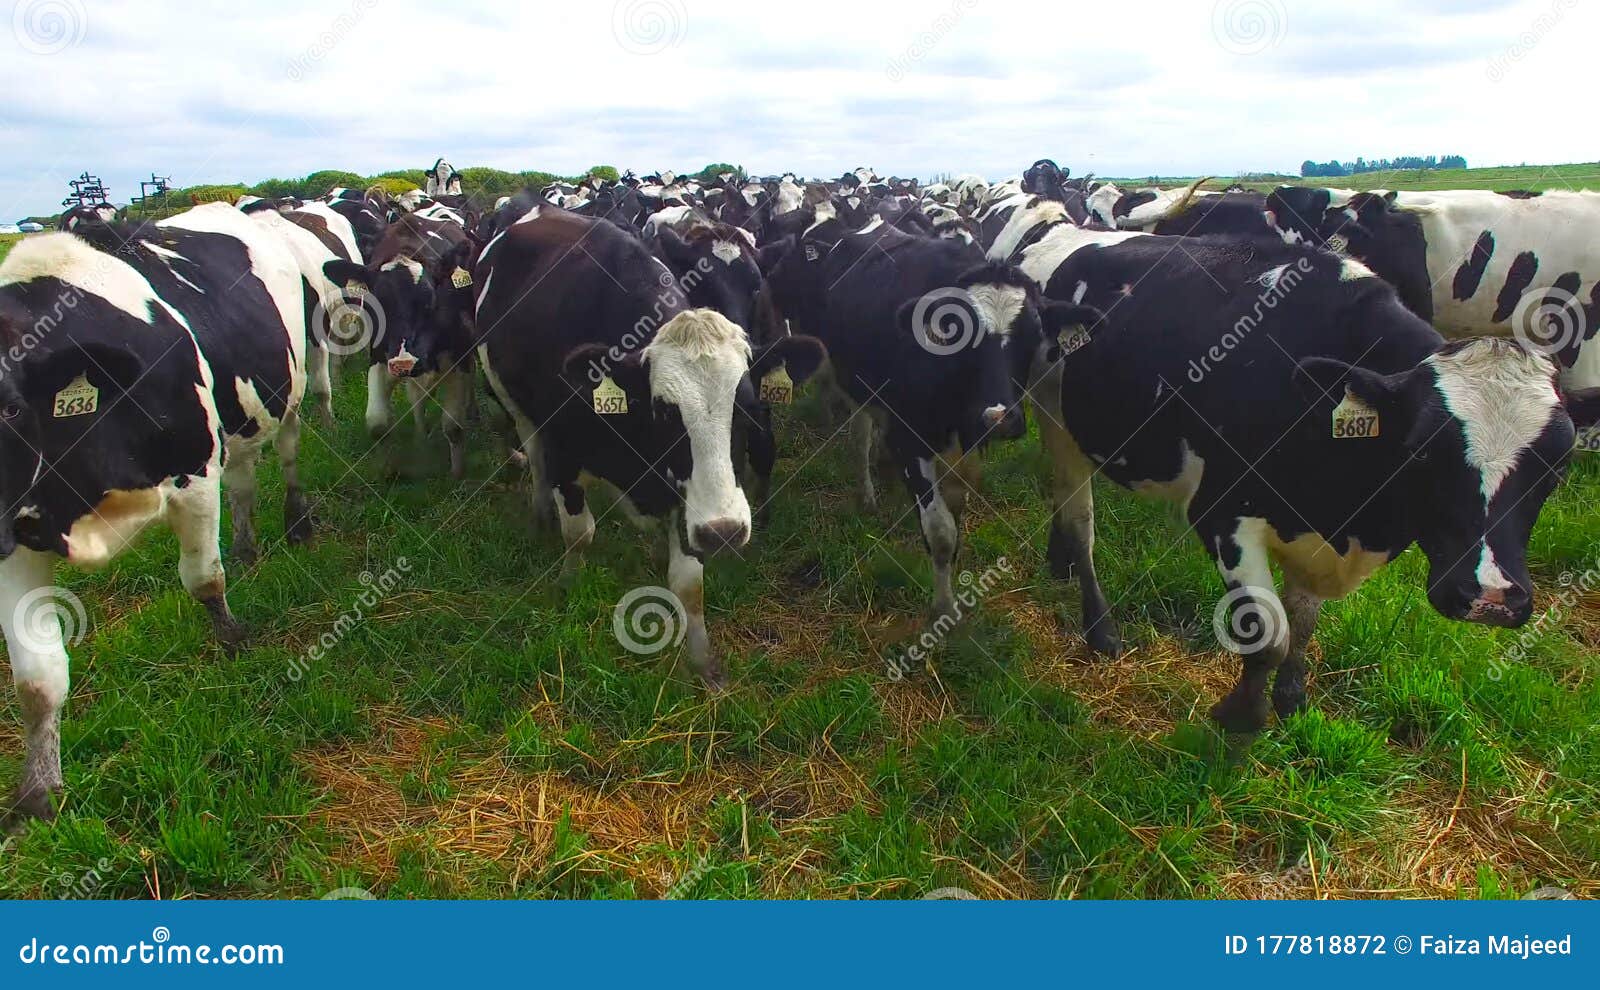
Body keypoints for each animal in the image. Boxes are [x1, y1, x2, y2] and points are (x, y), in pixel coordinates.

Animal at [0, 202, 313, 820]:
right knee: (244, 480)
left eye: (11, 409)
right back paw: (246, 545)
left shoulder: (194, 475)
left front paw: (233, 640)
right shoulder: (11, 537)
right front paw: (37, 793)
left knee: (287, 457)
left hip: (288, 391)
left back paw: (296, 524)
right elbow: (37, 679)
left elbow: (202, 578)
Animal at [471, 206, 823, 687]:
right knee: (534, 453)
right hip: (512, 399)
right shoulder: (564, 451)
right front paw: (567, 583)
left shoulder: (688, 498)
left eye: (748, 408)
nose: (725, 532)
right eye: (665, 412)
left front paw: (703, 661)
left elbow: (689, 581)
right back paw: (541, 509)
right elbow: (578, 534)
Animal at [1041, 235, 1596, 732]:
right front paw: (1240, 717)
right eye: (1420, 452)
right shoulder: (1222, 514)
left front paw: (1291, 700)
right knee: (1079, 520)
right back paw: (1100, 627)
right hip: (1060, 426)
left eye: (1558, 468)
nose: (1491, 597)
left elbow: (1303, 624)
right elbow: (1269, 636)